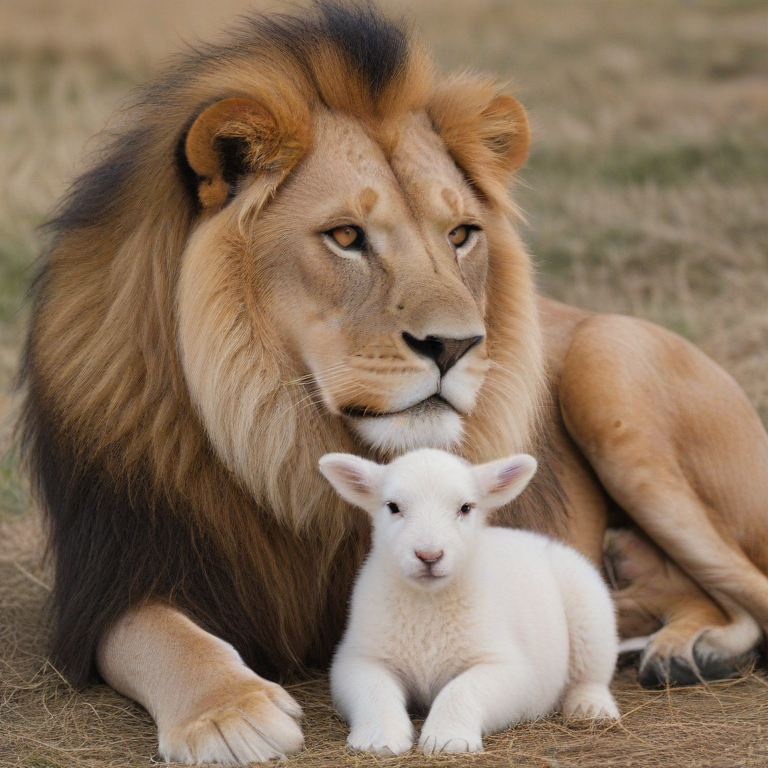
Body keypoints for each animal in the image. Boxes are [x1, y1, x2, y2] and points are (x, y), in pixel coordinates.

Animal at [318, 448, 620, 755]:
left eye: (465, 508)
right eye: (393, 506)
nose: (429, 555)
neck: (427, 602)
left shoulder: (511, 667)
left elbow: (463, 689)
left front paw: (447, 737)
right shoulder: (359, 657)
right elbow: (373, 689)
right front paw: (380, 737)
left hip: (590, 610)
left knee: (593, 673)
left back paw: (591, 706)